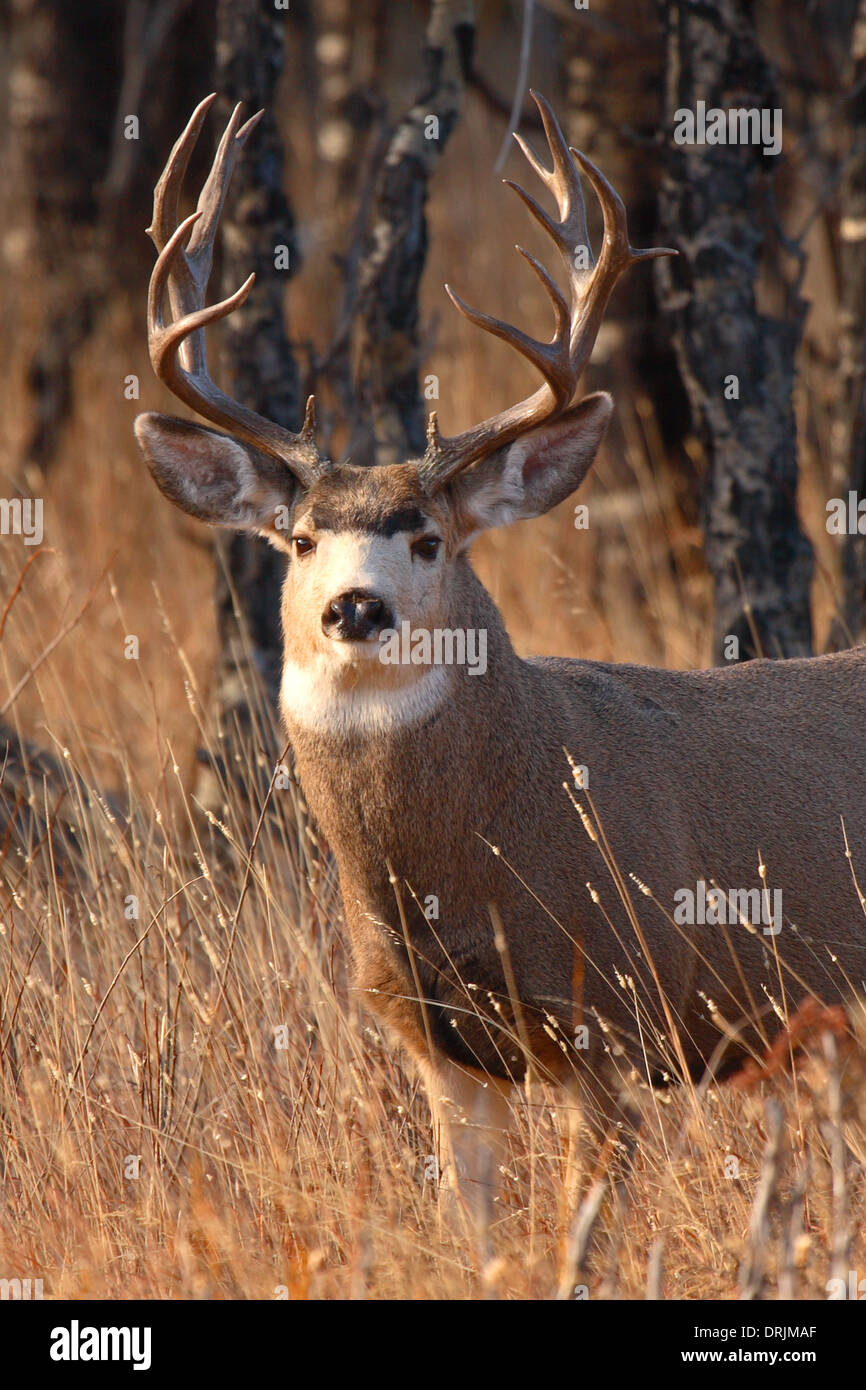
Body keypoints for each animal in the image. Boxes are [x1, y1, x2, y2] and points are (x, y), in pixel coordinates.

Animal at [135, 92, 866, 1230]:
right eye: (298, 540)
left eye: (430, 538)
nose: (355, 606)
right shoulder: (437, 1048)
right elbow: (475, 1232)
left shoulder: (609, 1016)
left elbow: (579, 1239)